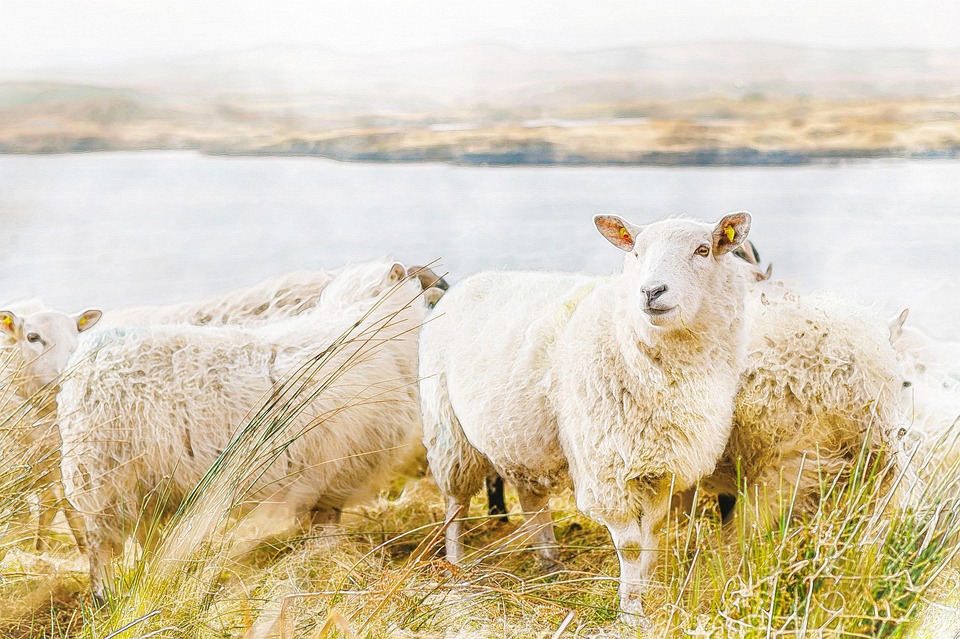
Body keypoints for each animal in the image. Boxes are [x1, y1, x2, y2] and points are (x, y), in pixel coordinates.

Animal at [57, 260, 431, 600]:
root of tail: (84, 362)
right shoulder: (335, 475)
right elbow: (326, 526)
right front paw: (328, 561)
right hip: (104, 479)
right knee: (100, 548)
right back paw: (105, 596)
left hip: (142, 486)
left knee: (144, 539)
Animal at [419, 212, 753, 624]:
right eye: (636, 252)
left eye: (703, 250)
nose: (651, 292)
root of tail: (463, 285)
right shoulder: (605, 467)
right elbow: (630, 545)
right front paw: (631, 611)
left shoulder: (664, 465)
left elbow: (653, 534)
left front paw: (646, 587)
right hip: (447, 430)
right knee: (455, 504)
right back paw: (457, 569)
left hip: (520, 435)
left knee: (531, 498)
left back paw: (550, 561)